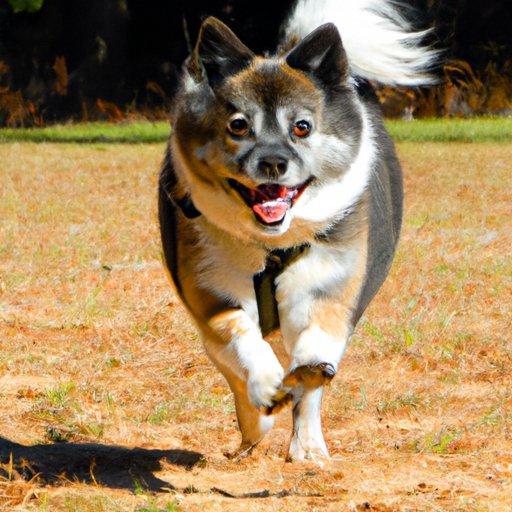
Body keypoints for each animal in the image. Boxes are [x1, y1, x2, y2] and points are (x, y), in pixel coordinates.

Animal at [157, 0, 436, 462]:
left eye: (302, 126)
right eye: (238, 125)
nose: (273, 162)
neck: (271, 246)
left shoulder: (332, 280)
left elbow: (316, 351)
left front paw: (306, 387)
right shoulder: (209, 293)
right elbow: (239, 338)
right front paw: (266, 392)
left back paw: (306, 445)